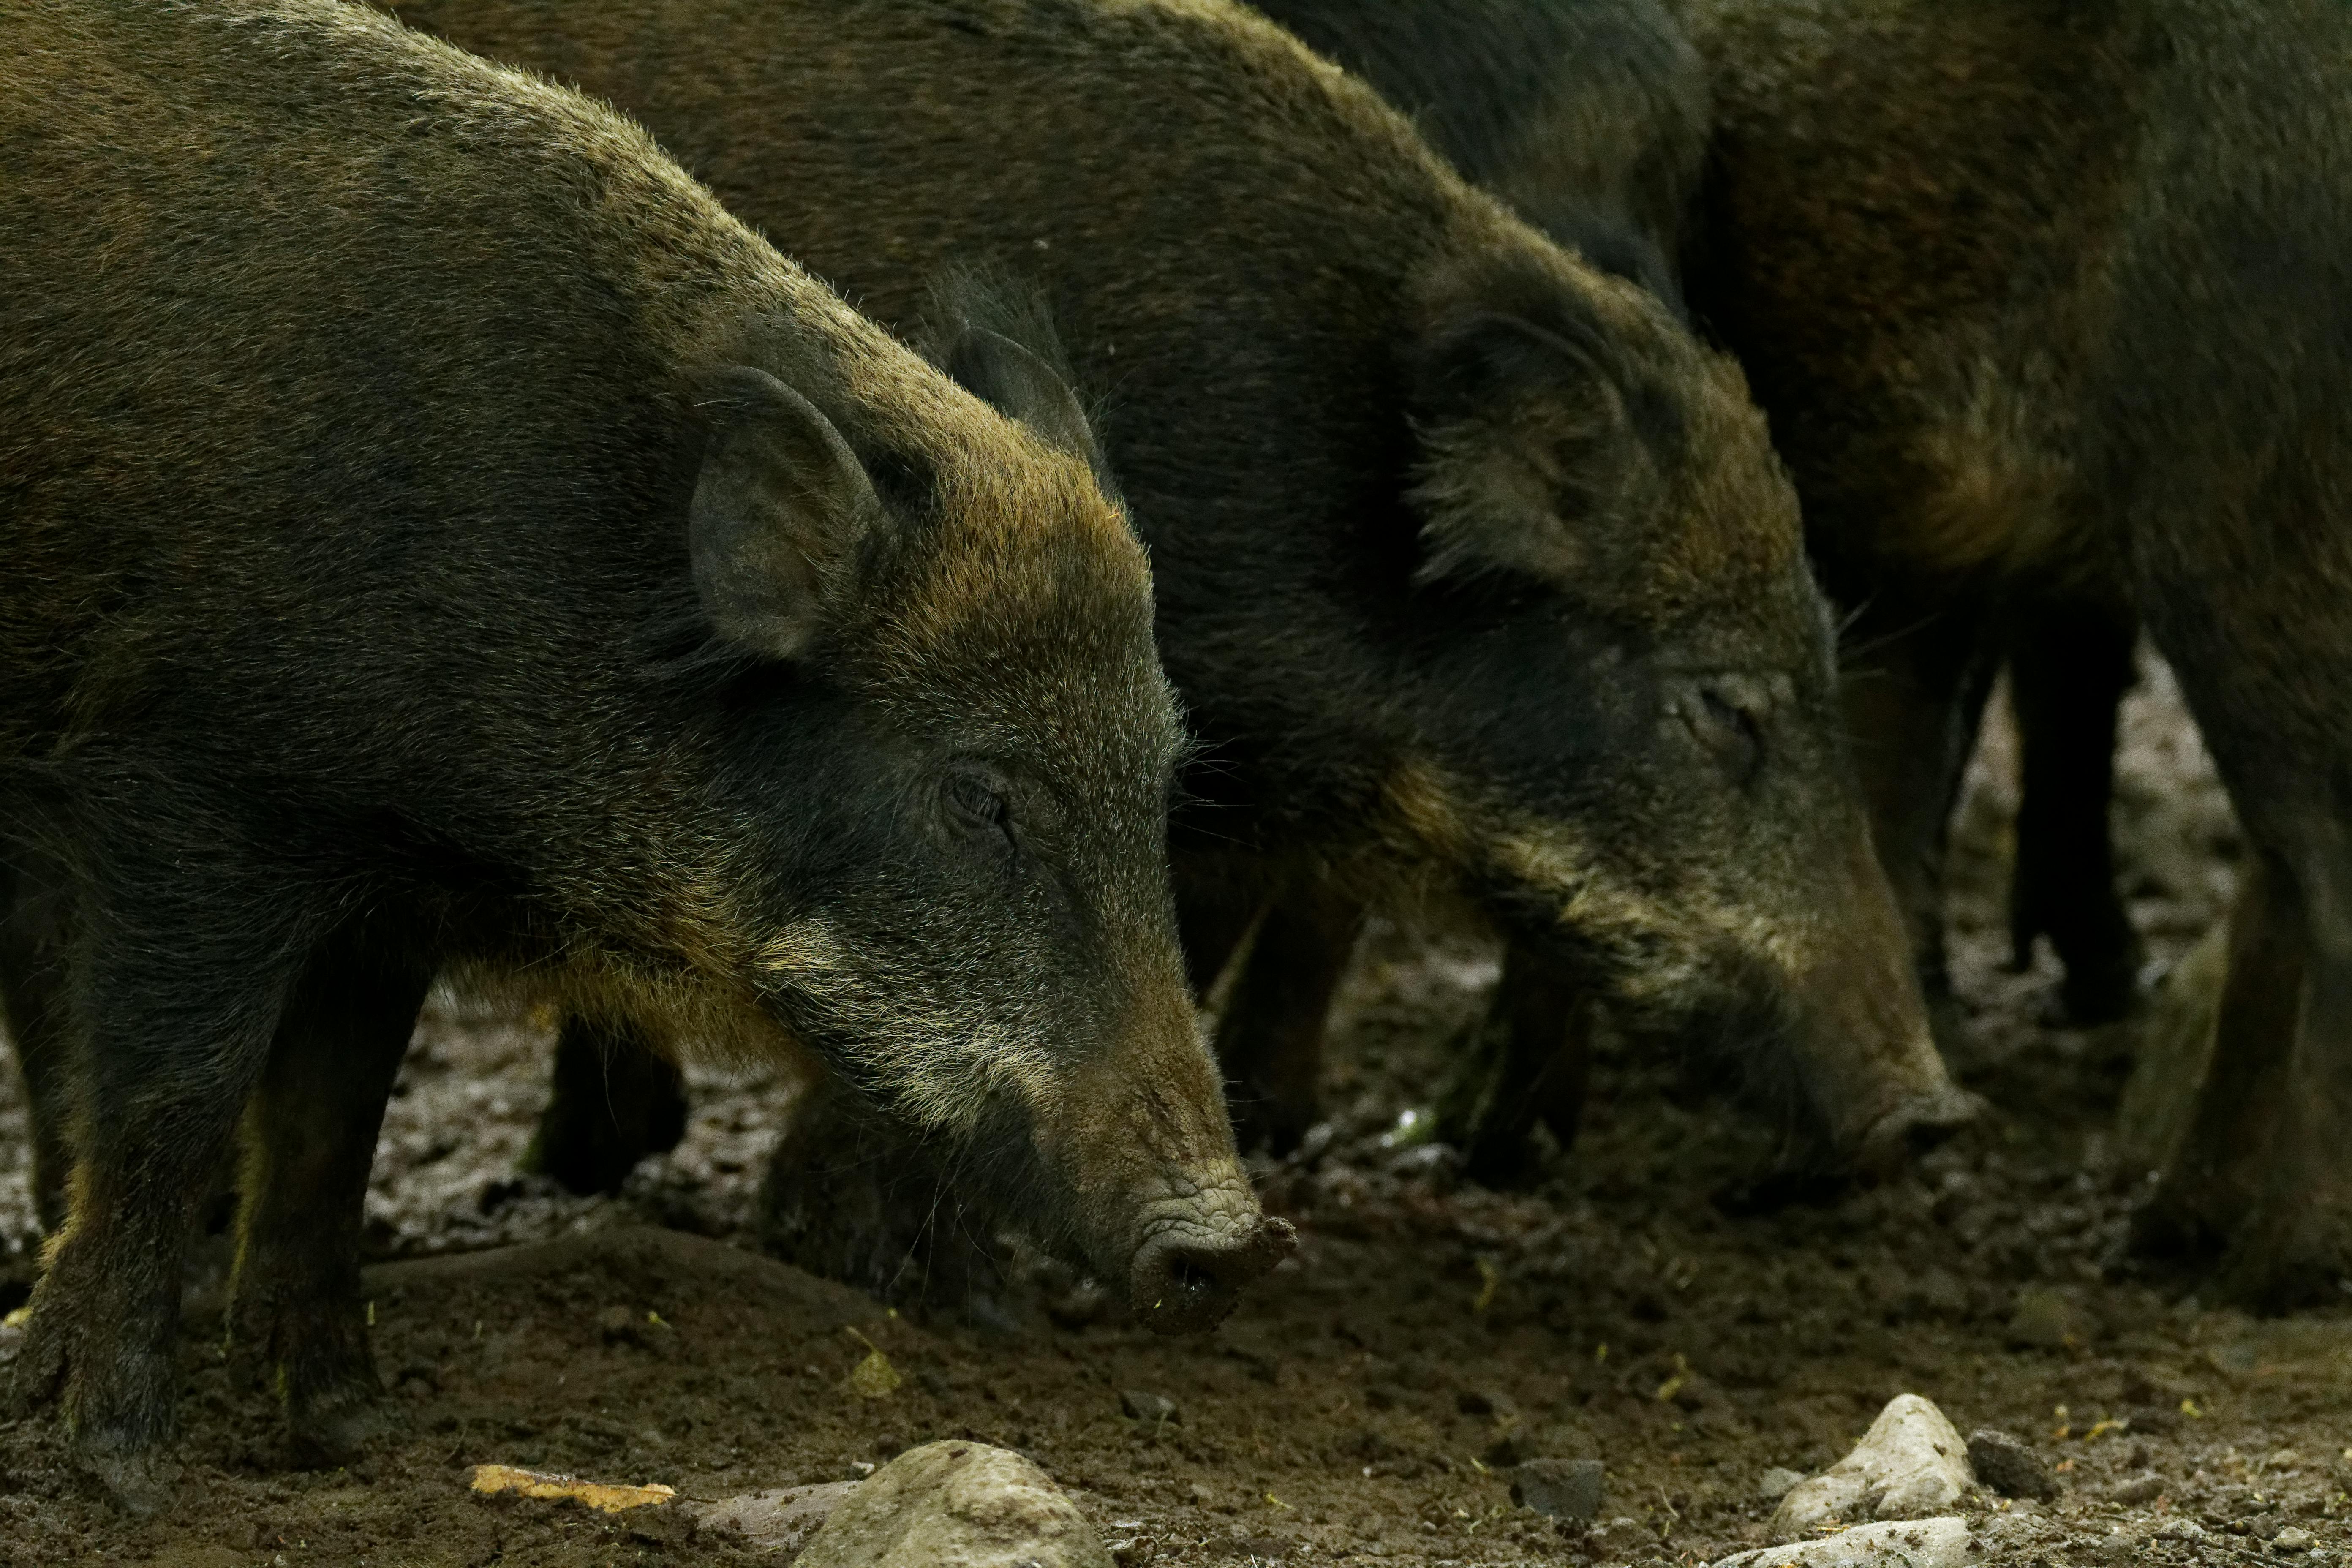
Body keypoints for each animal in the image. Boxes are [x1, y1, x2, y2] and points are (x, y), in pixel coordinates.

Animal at [0, 0, 1286, 1508]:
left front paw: (347, 1430)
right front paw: (113, 1464)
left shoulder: (383, 881)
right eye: (981, 797)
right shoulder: (194, 793)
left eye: (1160, 780)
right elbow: (174, 1104)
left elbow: (331, 1125)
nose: (1234, 1242)